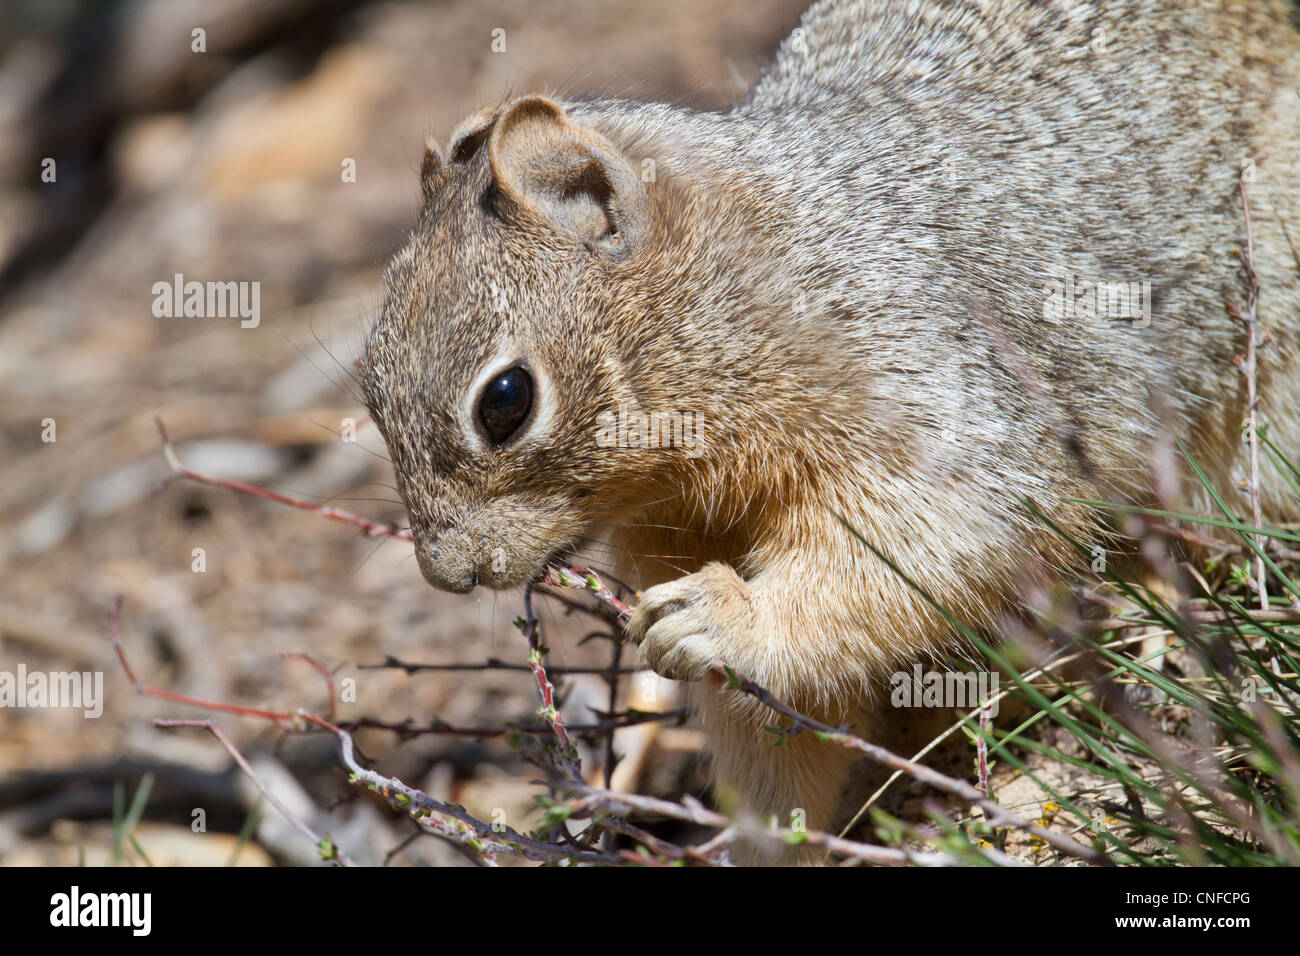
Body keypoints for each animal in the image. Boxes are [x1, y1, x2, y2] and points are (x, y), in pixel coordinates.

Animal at [362, 0, 1300, 863]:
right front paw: (770, 838)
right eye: (369, 395)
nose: (446, 574)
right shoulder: (674, 530)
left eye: (506, 401)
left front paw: (727, 619)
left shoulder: (924, 385)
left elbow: (934, 542)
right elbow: (778, 730)